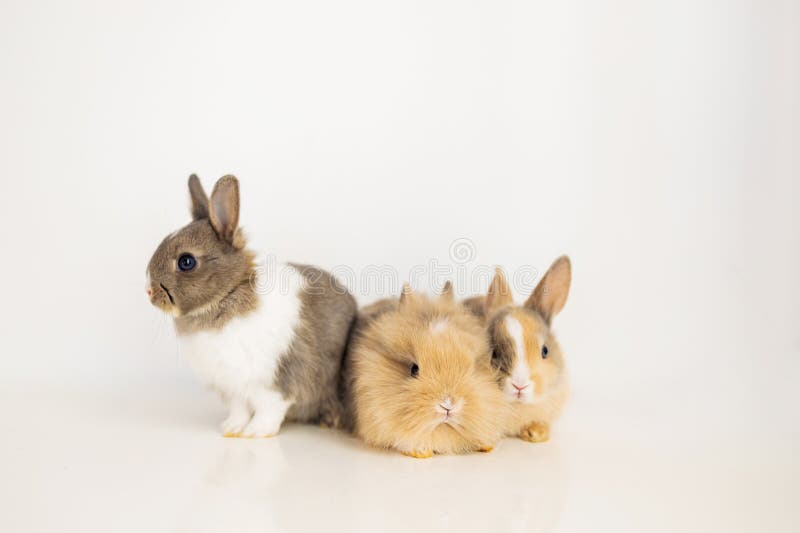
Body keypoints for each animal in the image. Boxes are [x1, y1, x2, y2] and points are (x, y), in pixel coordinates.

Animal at [146, 174, 356, 437]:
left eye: (186, 261)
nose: (149, 292)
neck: (228, 293)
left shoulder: (276, 381)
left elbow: (270, 410)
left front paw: (255, 432)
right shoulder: (232, 387)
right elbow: (239, 410)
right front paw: (231, 429)